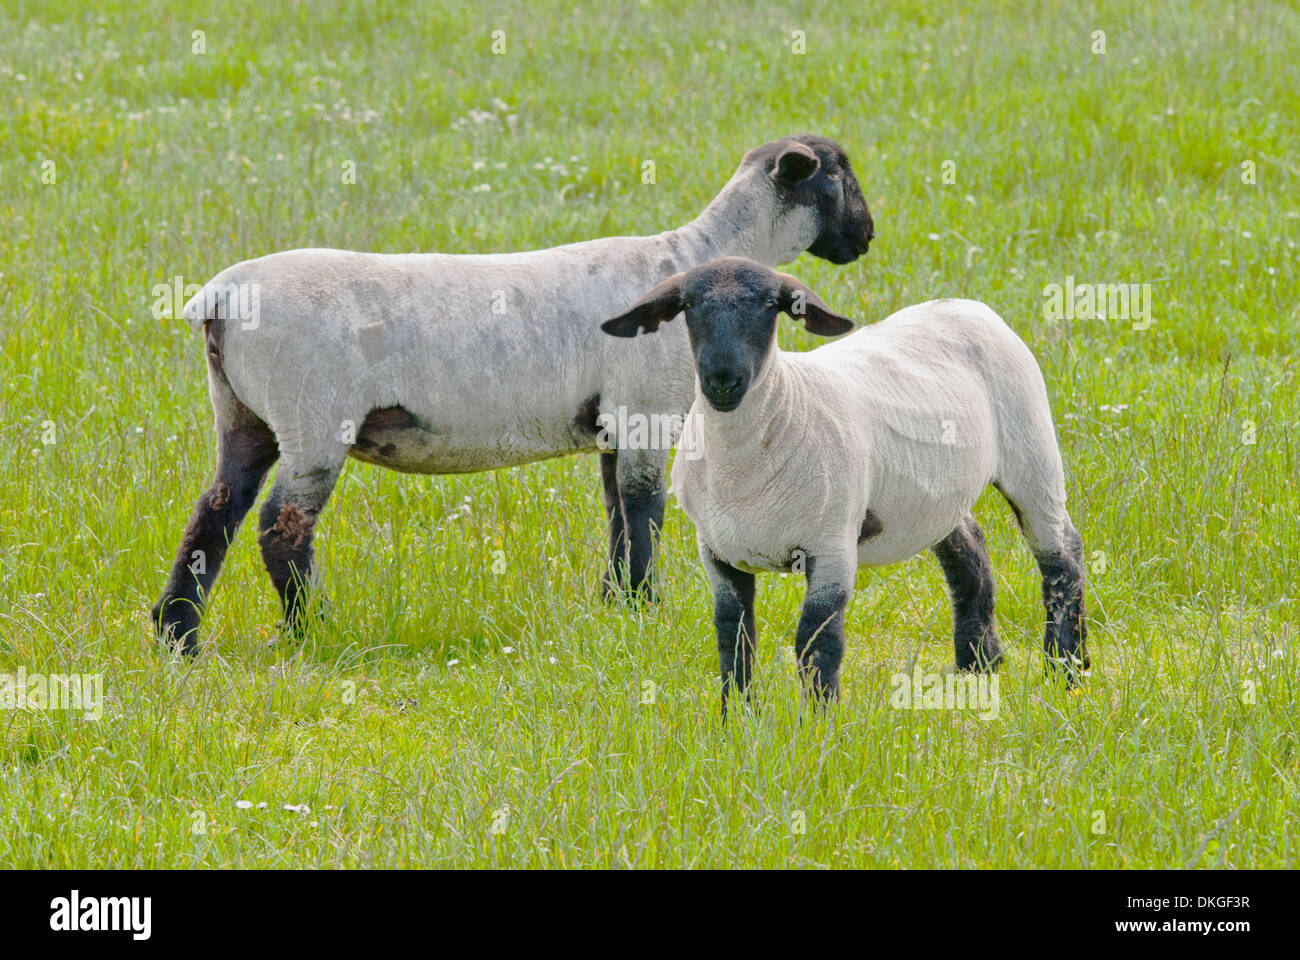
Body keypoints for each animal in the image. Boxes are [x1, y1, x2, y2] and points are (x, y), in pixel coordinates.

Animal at [152, 136, 875, 652]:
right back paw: (312, 629)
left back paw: (176, 635)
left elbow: (617, 512)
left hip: (242, 414)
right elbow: (645, 510)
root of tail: (218, 298)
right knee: (281, 526)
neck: (699, 257)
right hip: (312, 417)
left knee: (214, 514)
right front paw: (645, 607)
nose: (867, 237)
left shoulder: (614, 420)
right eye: (839, 177)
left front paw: (615, 605)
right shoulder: (645, 408)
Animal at [601, 258, 1089, 716]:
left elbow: (817, 641)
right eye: (689, 306)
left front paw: (820, 723)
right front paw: (736, 718)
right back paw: (978, 666)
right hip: (933, 493)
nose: (723, 380)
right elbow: (732, 635)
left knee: (1061, 556)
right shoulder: (717, 551)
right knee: (969, 554)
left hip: (1032, 453)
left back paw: (1067, 670)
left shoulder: (831, 545)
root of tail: (967, 305)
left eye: (768, 305)